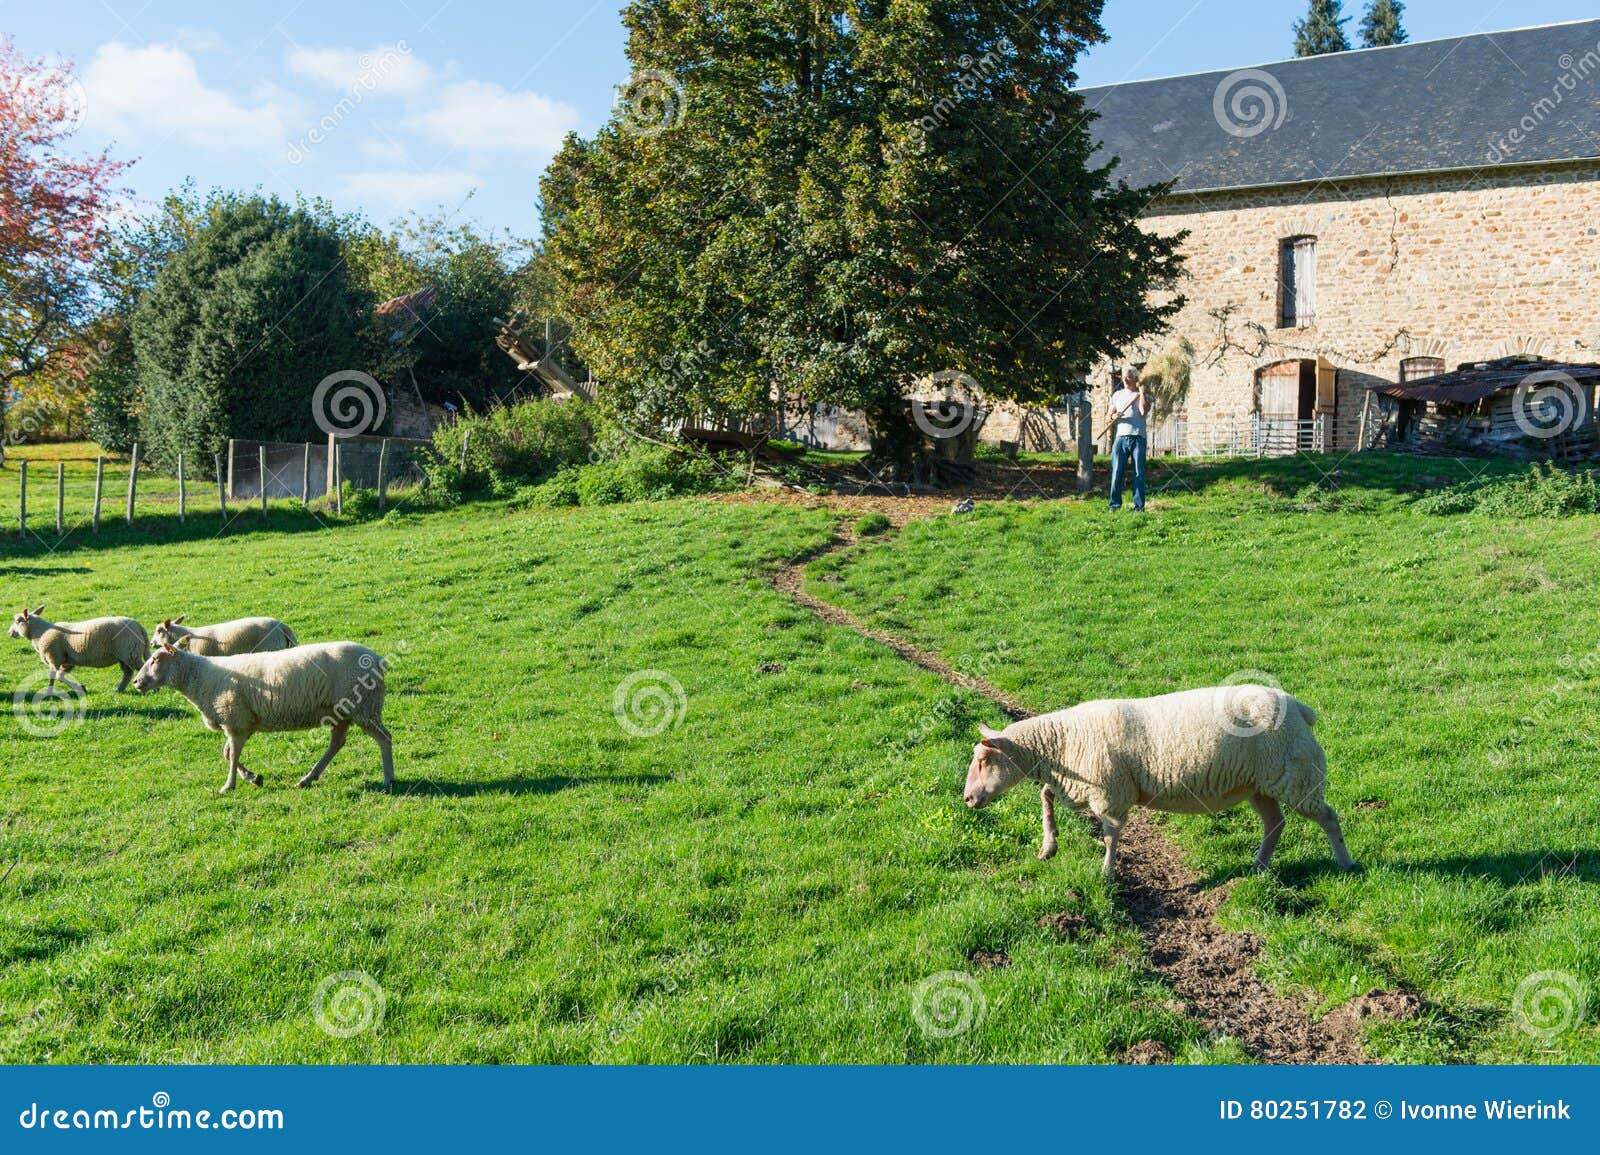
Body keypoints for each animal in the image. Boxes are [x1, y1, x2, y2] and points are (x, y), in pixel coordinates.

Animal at [8, 606, 149, 694]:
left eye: (18, 621)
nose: (9, 633)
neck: (40, 633)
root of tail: (139, 627)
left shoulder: (54, 657)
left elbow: (54, 676)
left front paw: (49, 691)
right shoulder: (67, 661)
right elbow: (61, 676)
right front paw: (80, 687)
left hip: (131, 653)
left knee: (142, 668)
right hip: (125, 656)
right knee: (128, 673)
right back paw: (119, 689)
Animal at [131, 639, 395, 793]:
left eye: (155, 659)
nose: (135, 682)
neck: (199, 677)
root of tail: (377, 659)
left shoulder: (234, 720)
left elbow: (231, 755)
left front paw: (228, 786)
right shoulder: (240, 723)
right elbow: (227, 753)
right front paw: (253, 777)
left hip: (364, 706)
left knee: (384, 738)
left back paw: (389, 777)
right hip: (343, 711)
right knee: (337, 743)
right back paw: (308, 778)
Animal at [962, 685, 1356, 877]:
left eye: (983, 760)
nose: (967, 799)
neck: (1063, 741)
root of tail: (1299, 707)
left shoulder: (1110, 792)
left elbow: (1110, 836)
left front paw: (1106, 873)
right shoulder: (1079, 783)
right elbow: (1045, 795)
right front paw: (1049, 845)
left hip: (1296, 777)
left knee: (1327, 816)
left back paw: (1346, 862)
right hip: (1260, 784)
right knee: (1275, 824)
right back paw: (1259, 868)